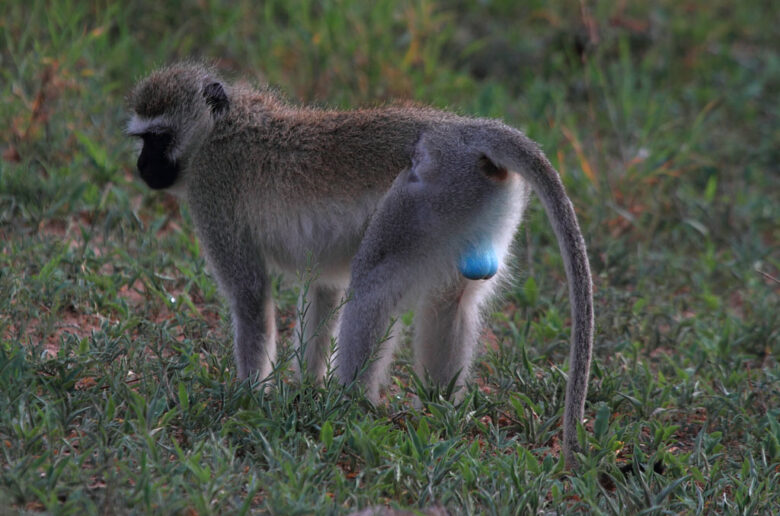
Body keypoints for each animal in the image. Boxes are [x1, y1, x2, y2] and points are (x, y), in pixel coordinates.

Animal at [127, 63, 594, 469]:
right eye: (142, 139)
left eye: (158, 138)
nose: (141, 166)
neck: (219, 127)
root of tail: (460, 132)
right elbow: (326, 288)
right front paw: (306, 388)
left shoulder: (212, 189)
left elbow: (250, 296)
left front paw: (249, 399)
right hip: (471, 202)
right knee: (451, 301)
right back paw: (437, 414)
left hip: (427, 194)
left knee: (375, 281)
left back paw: (348, 409)